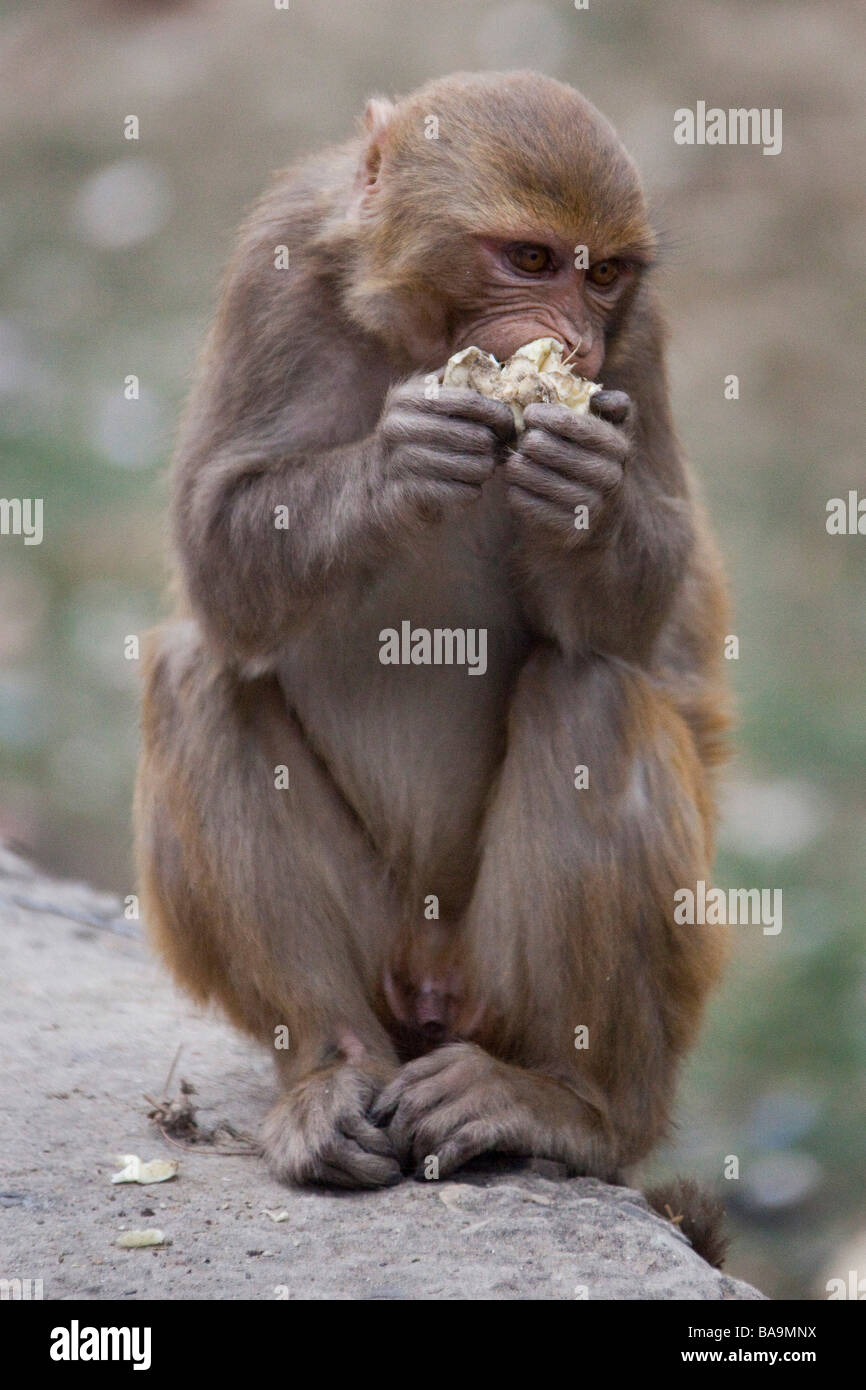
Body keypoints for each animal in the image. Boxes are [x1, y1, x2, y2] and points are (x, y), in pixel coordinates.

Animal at [135, 71, 731, 1223]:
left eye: (603, 274)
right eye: (531, 259)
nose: (573, 344)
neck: (413, 333)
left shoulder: (638, 338)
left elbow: (638, 619)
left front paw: (583, 484)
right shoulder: (275, 260)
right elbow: (215, 557)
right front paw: (399, 463)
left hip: (517, 993)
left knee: (589, 696)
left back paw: (568, 1107)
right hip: (384, 961)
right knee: (199, 677)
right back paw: (330, 1074)